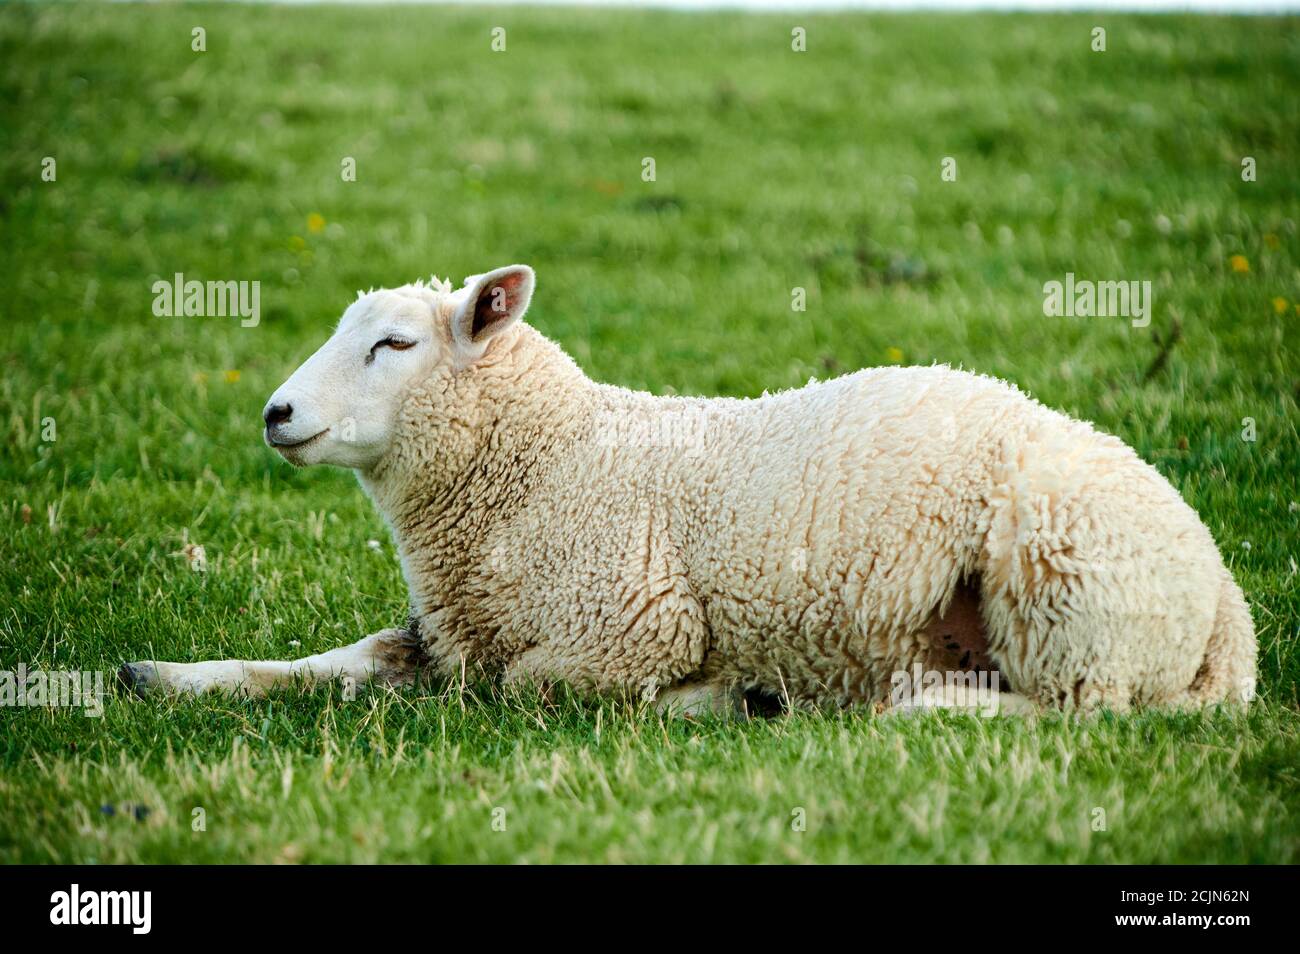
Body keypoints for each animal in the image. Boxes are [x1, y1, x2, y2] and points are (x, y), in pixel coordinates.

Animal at [120, 264, 1258, 717]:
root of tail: (1225, 606)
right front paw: (158, 675)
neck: (551, 459)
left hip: (1065, 589)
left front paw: (721, 698)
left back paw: (901, 707)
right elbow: (339, 662)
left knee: (1079, 713)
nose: (276, 414)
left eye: (394, 345)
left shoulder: (633, 621)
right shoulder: (450, 635)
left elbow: (531, 686)